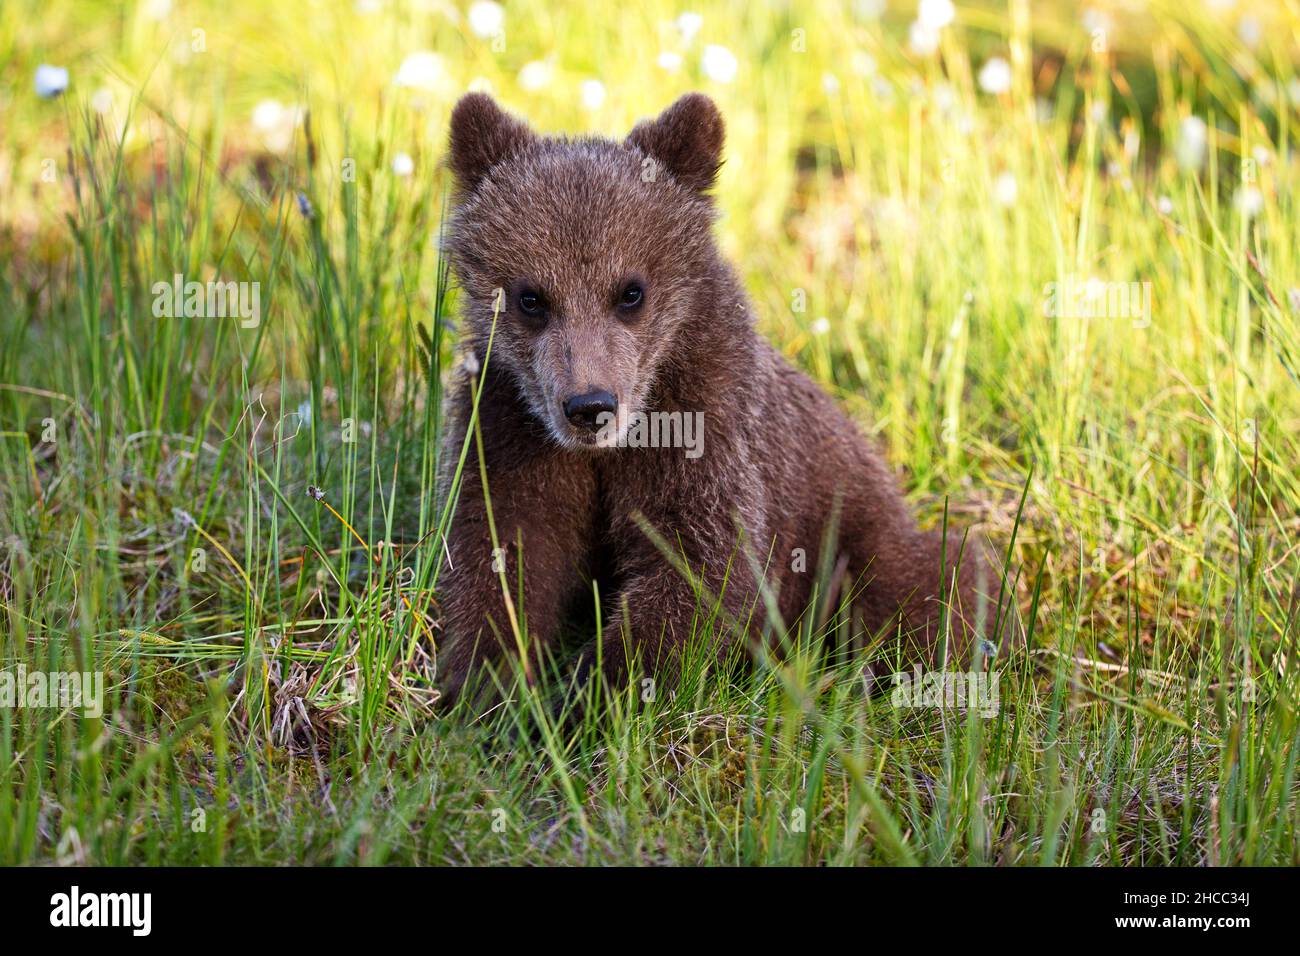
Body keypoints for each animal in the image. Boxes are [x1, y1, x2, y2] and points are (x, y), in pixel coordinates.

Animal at [436, 92, 1017, 706]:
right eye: (531, 297)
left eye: (631, 291)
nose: (590, 406)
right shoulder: (508, 423)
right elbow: (507, 548)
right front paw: (486, 684)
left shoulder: (707, 424)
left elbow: (707, 565)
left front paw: (594, 691)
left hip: (859, 530)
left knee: (935, 586)